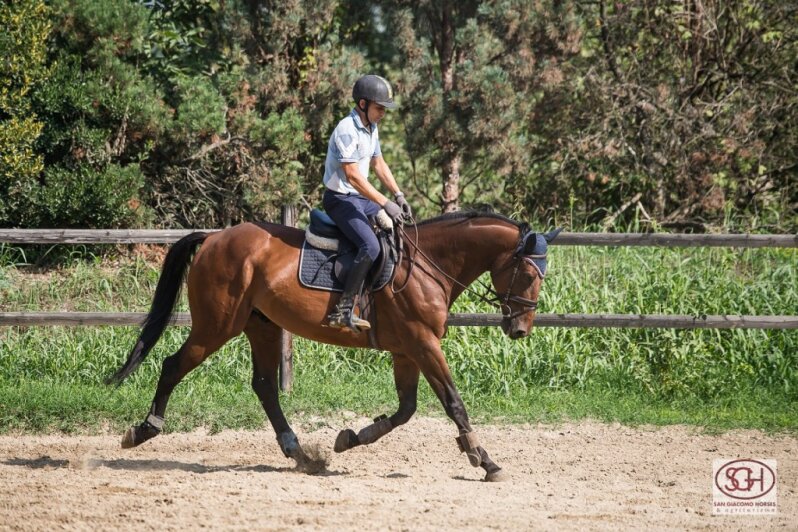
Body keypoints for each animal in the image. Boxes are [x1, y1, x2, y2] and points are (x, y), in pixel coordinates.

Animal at [107, 211, 560, 481]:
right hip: (216, 327)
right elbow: (453, 403)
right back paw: (144, 429)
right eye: (528, 275)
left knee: (264, 386)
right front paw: (484, 460)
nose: (520, 330)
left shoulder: (406, 351)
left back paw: (300, 454)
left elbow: (405, 410)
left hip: (262, 327)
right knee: (172, 365)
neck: (427, 265)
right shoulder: (423, 344)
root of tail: (216, 236)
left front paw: (350, 437)